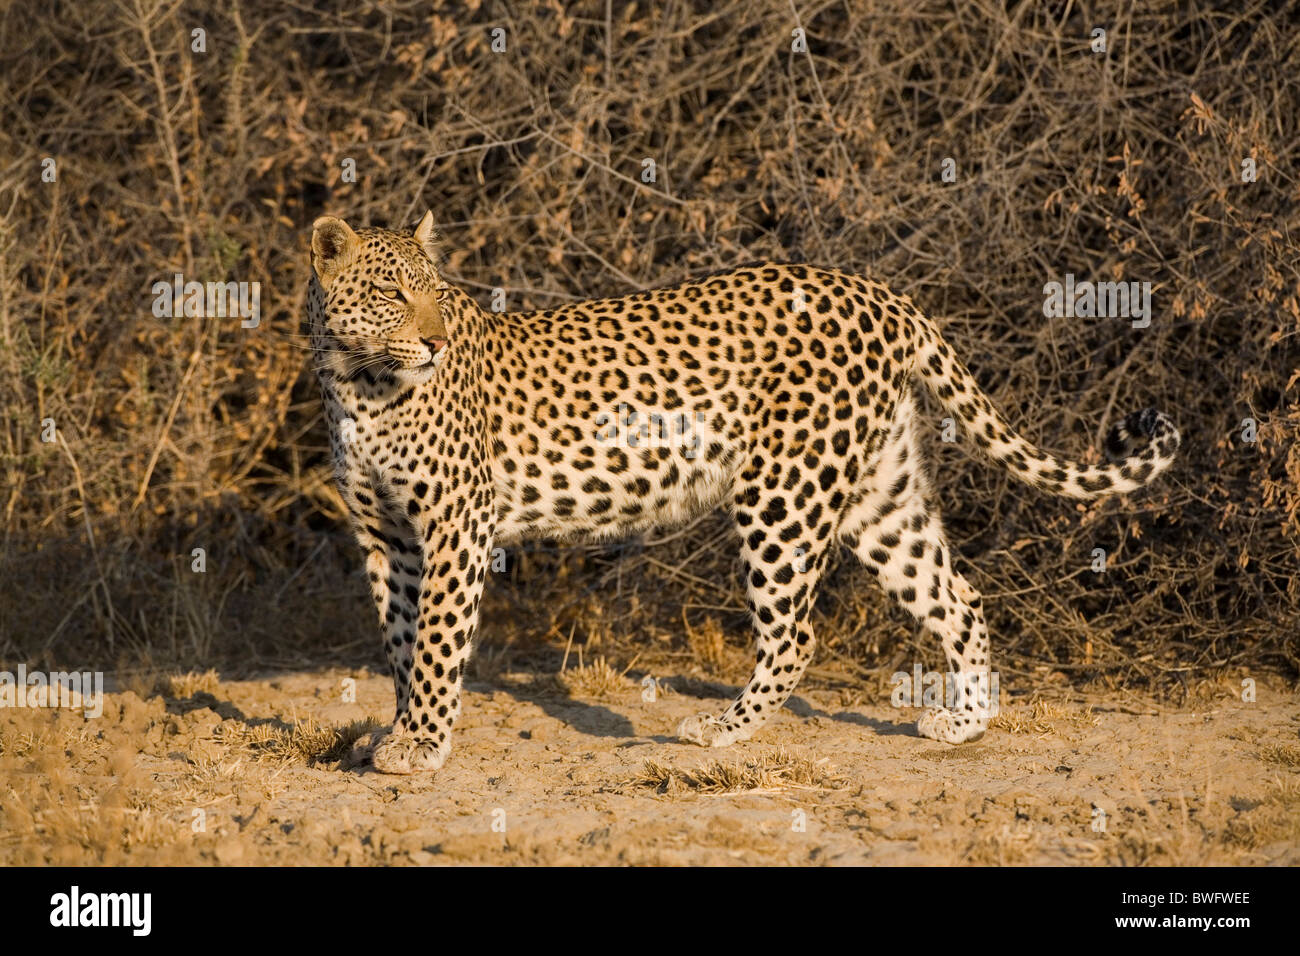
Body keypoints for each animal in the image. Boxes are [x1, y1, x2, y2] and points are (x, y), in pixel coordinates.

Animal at [307, 210, 1179, 775]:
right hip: (879, 497)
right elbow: (399, 641)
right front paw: (393, 732)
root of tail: (881, 293)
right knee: (957, 596)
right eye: (391, 294)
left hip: (783, 493)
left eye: (433, 290)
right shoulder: (390, 539)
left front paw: (421, 745)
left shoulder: (457, 523)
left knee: (796, 635)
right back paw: (963, 725)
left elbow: (436, 641)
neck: (358, 383)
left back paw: (718, 731)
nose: (433, 341)